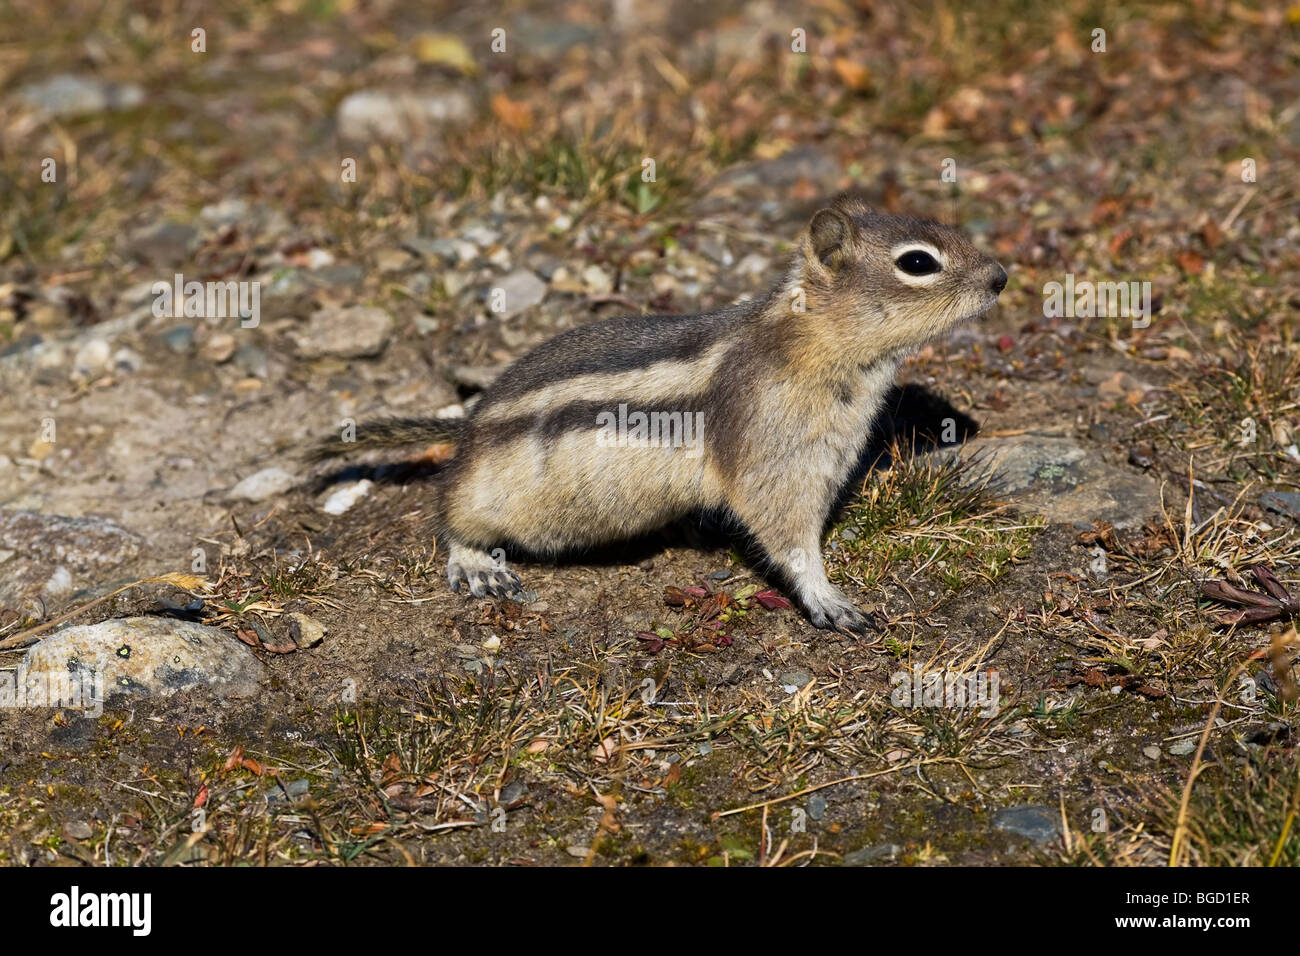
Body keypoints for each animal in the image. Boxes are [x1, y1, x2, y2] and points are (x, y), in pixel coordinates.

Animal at [310, 192, 1007, 635]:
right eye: (917, 262)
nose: (1000, 276)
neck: (811, 344)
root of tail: (470, 426)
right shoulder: (775, 459)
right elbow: (787, 535)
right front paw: (829, 600)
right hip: (488, 496)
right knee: (450, 513)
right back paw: (476, 564)